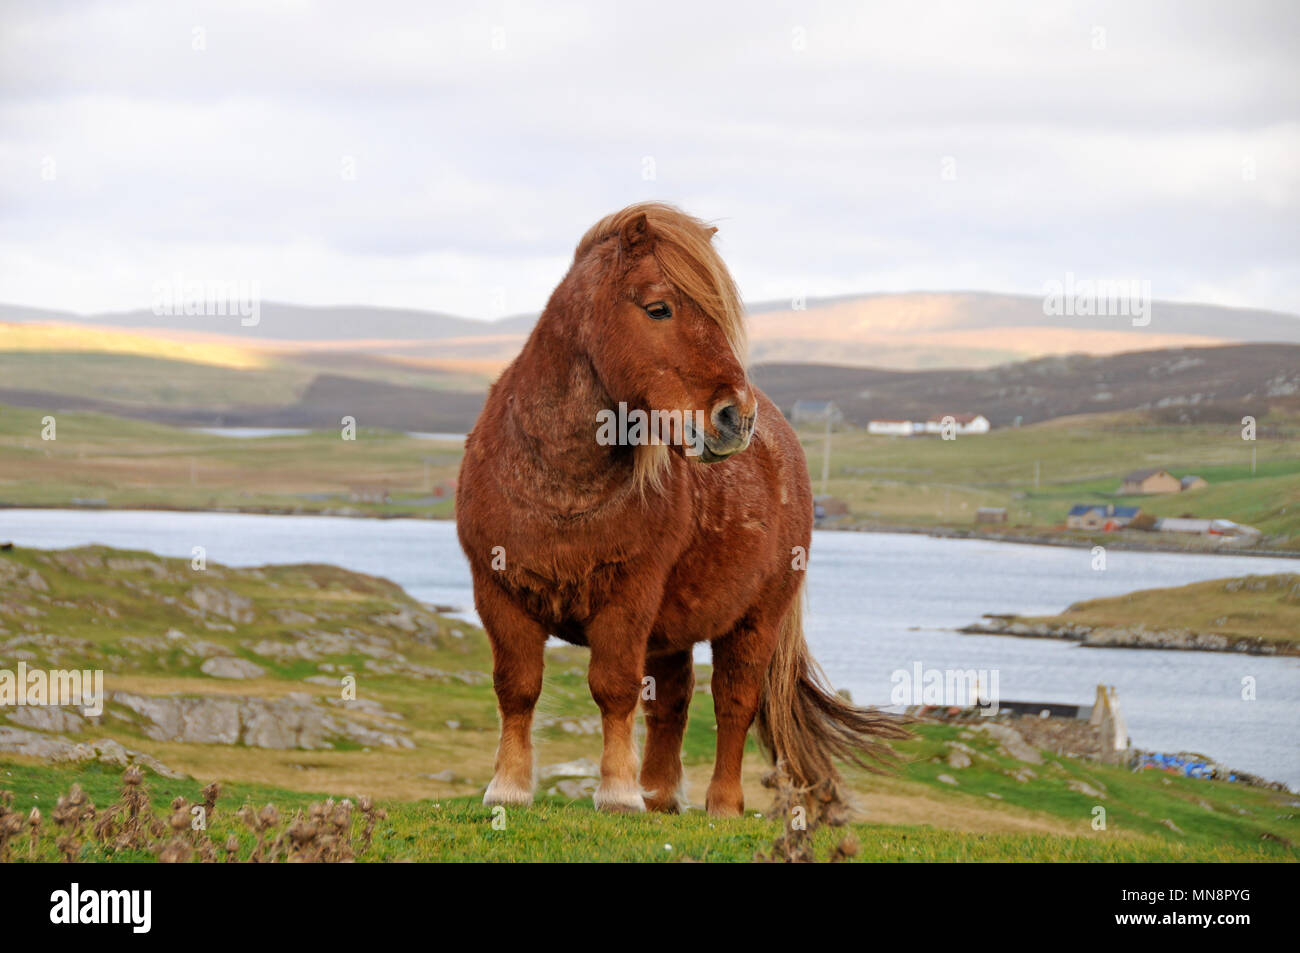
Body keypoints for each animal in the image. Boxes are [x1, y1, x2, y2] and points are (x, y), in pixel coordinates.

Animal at [455, 202, 906, 816]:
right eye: (658, 308)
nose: (734, 417)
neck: (562, 491)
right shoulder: (499, 592)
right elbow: (517, 688)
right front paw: (508, 788)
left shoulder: (628, 599)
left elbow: (614, 687)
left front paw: (617, 794)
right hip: (671, 632)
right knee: (671, 701)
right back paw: (661, 795)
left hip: (754, 621)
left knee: (733, 703)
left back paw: (721, 805)